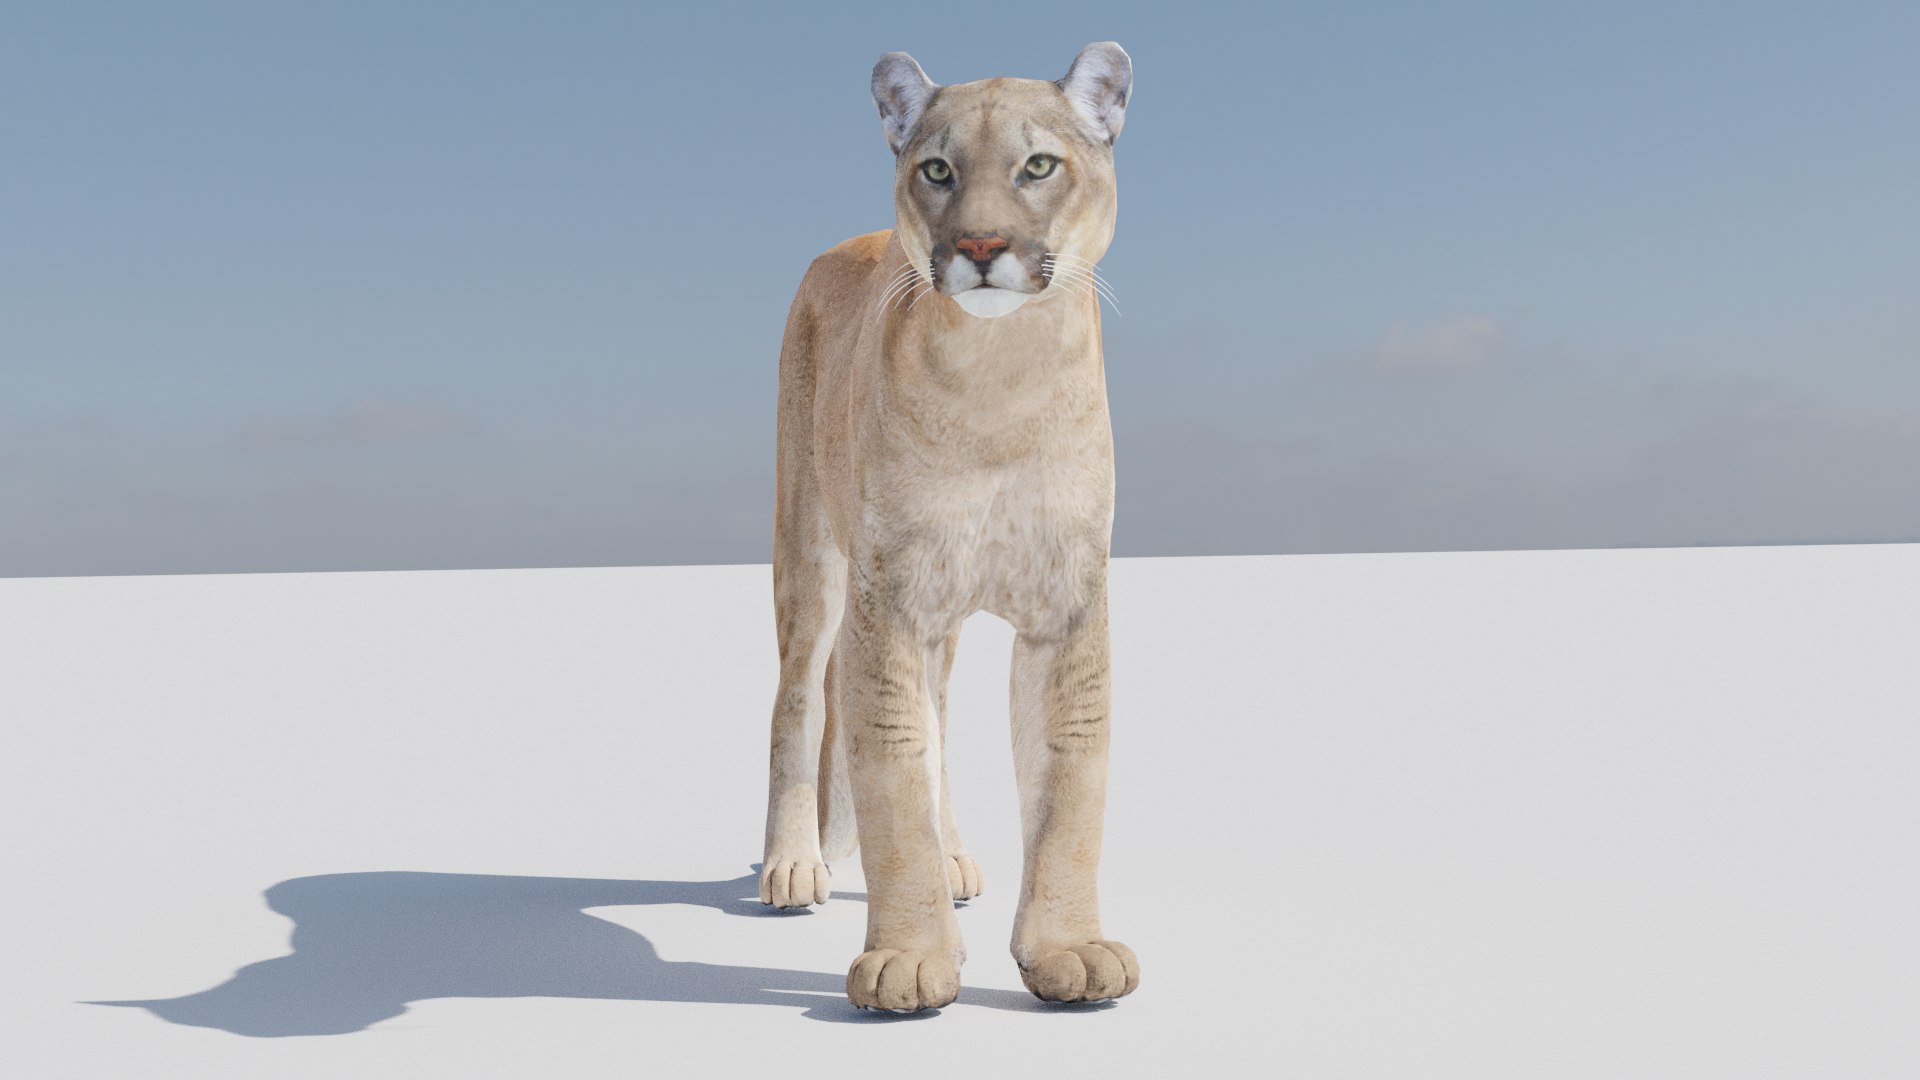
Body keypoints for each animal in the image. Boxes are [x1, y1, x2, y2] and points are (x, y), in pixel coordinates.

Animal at [757, 42, 1139, 1013]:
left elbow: (1071, 778)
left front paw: (1068, 950)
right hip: (811, 559)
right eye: (937, 170)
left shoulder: (1065, 605)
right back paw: (795, 863)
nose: (980, 245)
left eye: (1037, 165)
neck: (997, 381)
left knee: (929, 715)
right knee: (800, 696)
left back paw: (956, 857)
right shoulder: (887, 601)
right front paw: (908, 959)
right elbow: (891, 774)